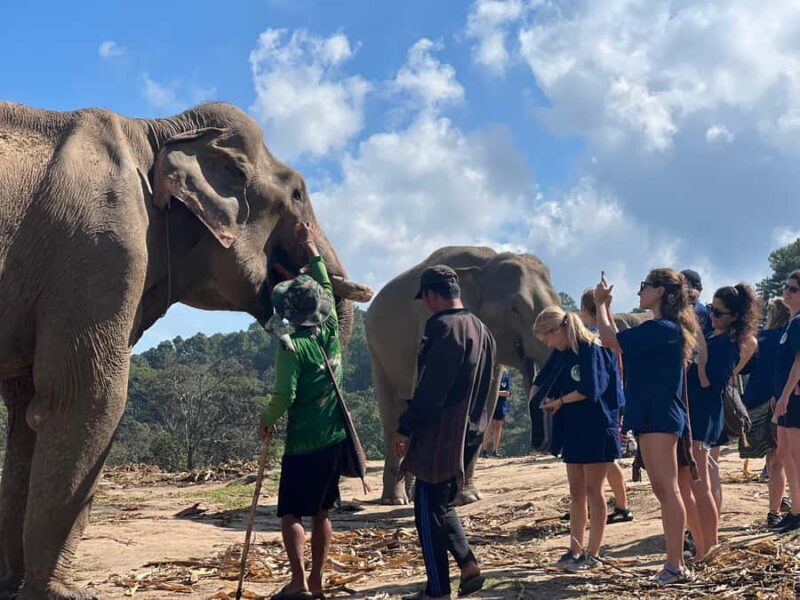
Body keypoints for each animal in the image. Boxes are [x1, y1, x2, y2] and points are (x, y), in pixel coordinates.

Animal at [0, 101, 370, 599]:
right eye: (297, 193)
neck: (156, 131)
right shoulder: (99, 251)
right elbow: (85, 400)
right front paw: (60, 594)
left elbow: (27, 414)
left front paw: (15, 587)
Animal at [365, 246, 560, 505]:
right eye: (515, 308)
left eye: (559, 301)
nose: (543, 445)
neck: (486, 263)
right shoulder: (426, 322)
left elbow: (486, 400)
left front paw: (468, 497)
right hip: (378, 352)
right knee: (393, 412)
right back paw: (396, 500)